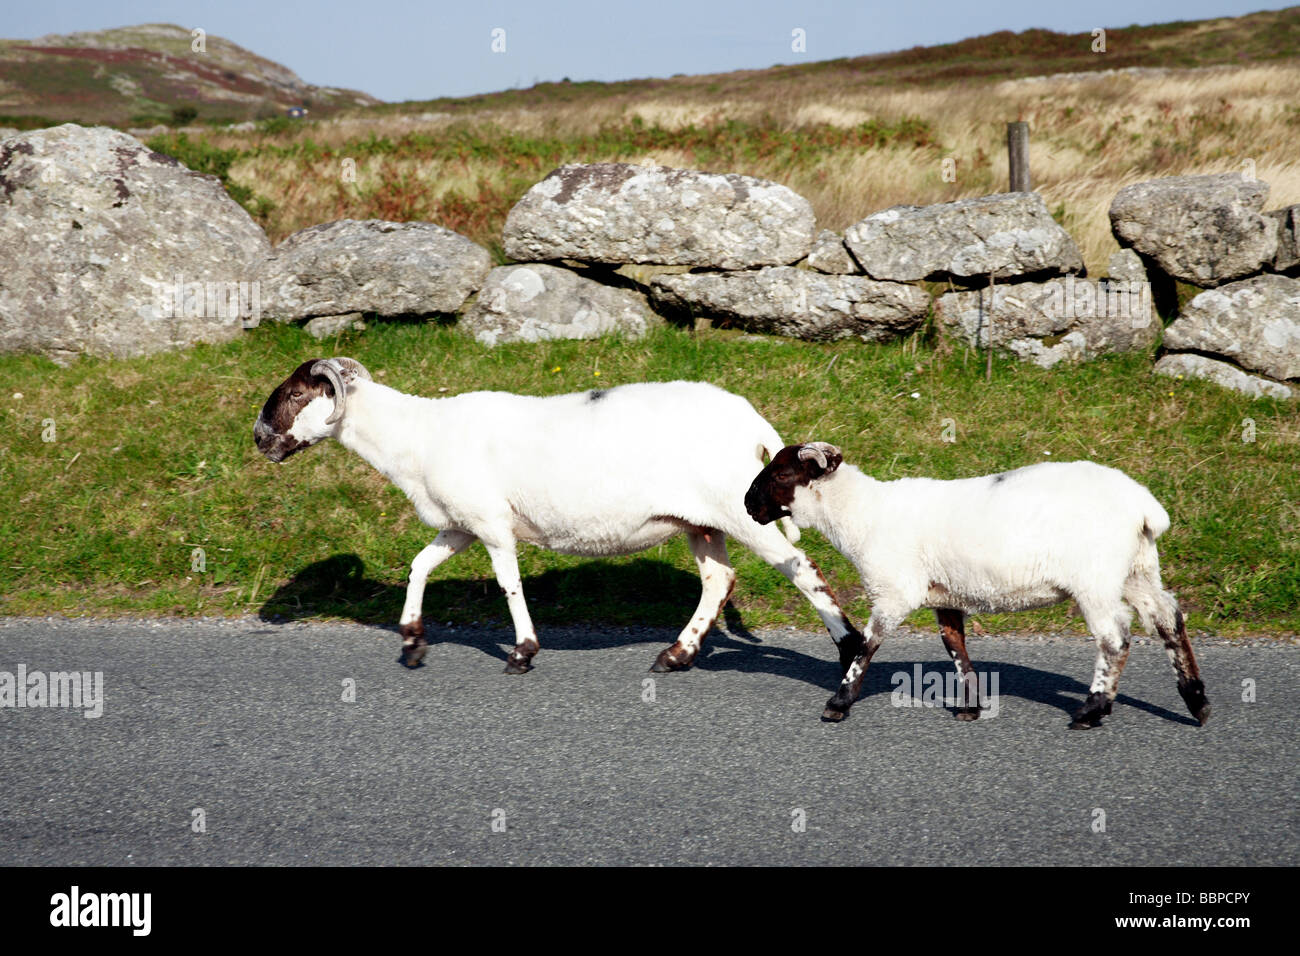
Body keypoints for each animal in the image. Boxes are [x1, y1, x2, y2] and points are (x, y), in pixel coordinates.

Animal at [253, 358, 866, 675]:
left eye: (293, 393)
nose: (259, 440)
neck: (414, 437)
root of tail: (750, 421)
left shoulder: (490, 524)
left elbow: (508, 582)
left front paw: (523, 652)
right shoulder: (461, 523)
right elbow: (420, 565)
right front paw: (411, 642)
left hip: (739, 513)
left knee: (801, 569)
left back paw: (849, 648)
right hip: (702, 521)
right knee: (720, 579)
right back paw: (677, 654)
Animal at [745, 442, 1211, 728]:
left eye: (781, 474)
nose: (748, 505)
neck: (860, 513)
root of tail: (1144, 507)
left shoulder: (896, 590)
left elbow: (866, 646)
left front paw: (838, 703)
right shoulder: (944, 593)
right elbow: (956, 648)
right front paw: (970, 705)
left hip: (1095, 577)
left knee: (1115, 637)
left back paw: (1092, 709)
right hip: (1137, 569)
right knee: (1169, 617)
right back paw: (1197, 701)